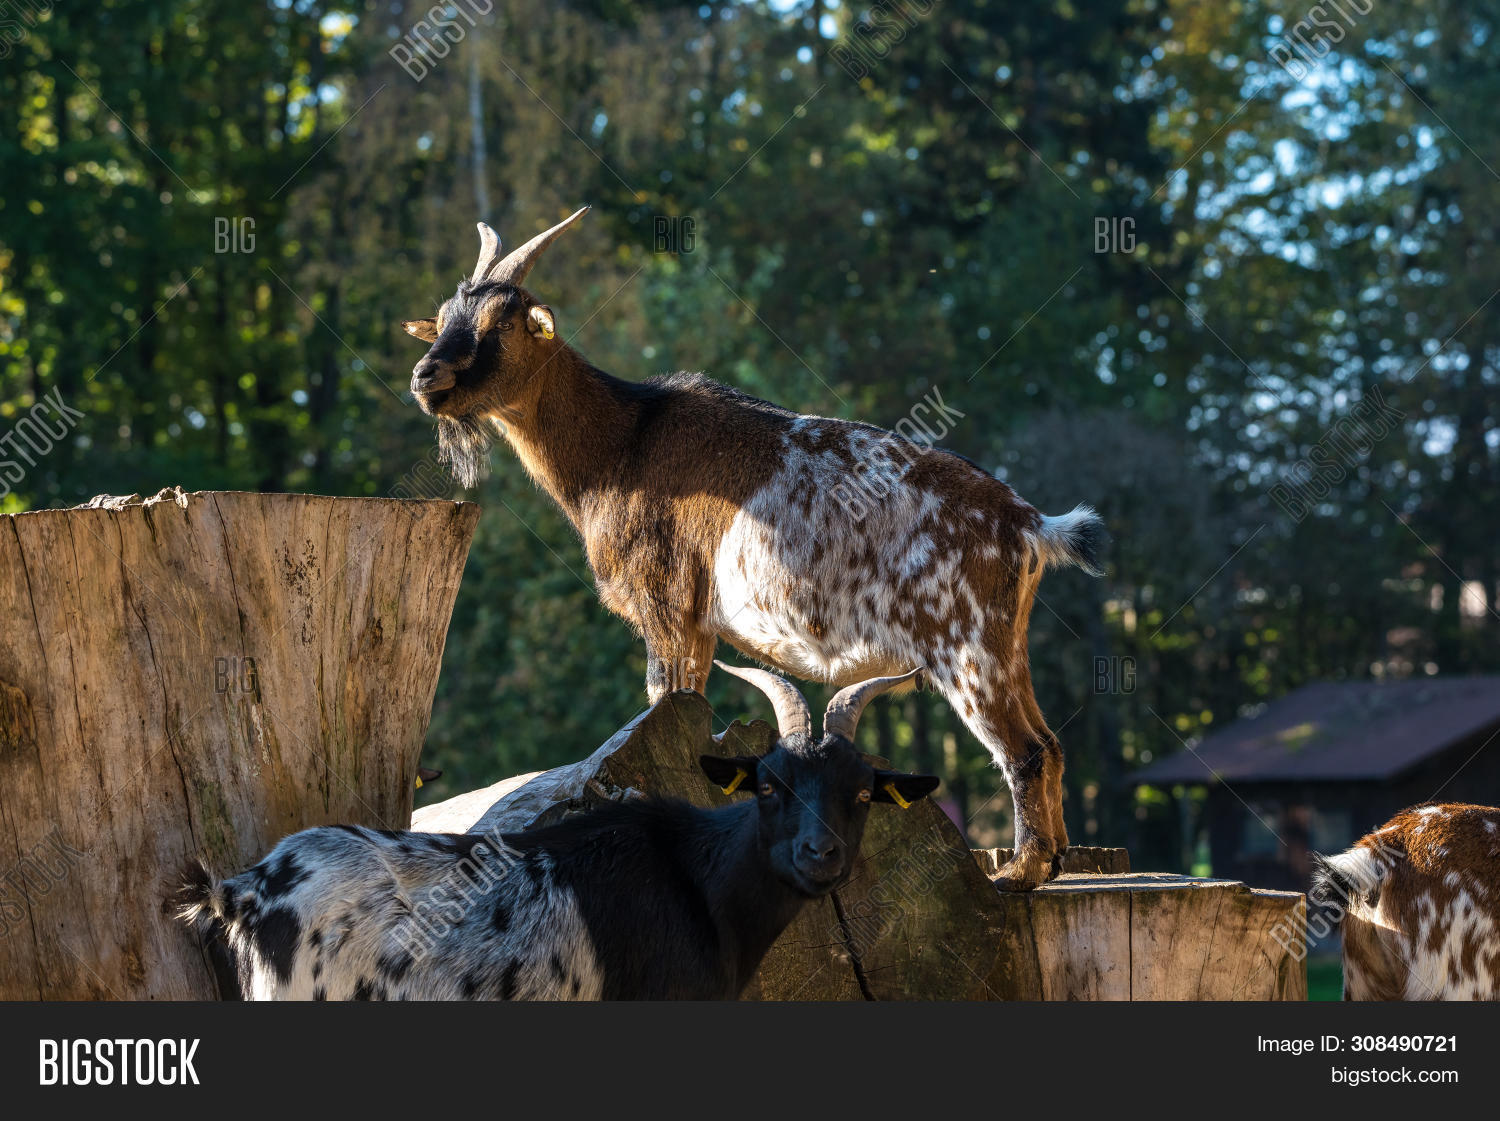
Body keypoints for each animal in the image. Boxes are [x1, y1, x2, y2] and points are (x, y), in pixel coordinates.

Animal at [400, 207, 1102, 889]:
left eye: (503, 323)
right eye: (442, 318)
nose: (426, 377)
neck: (623, 443)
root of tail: (1030, 524)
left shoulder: (668, 605)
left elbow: (667, 698)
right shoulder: (696, 621)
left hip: (966, 648)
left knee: (1024, 749)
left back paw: (1020, 872)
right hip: (1005, 646)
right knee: (1053, 743)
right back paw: (1055, 860)